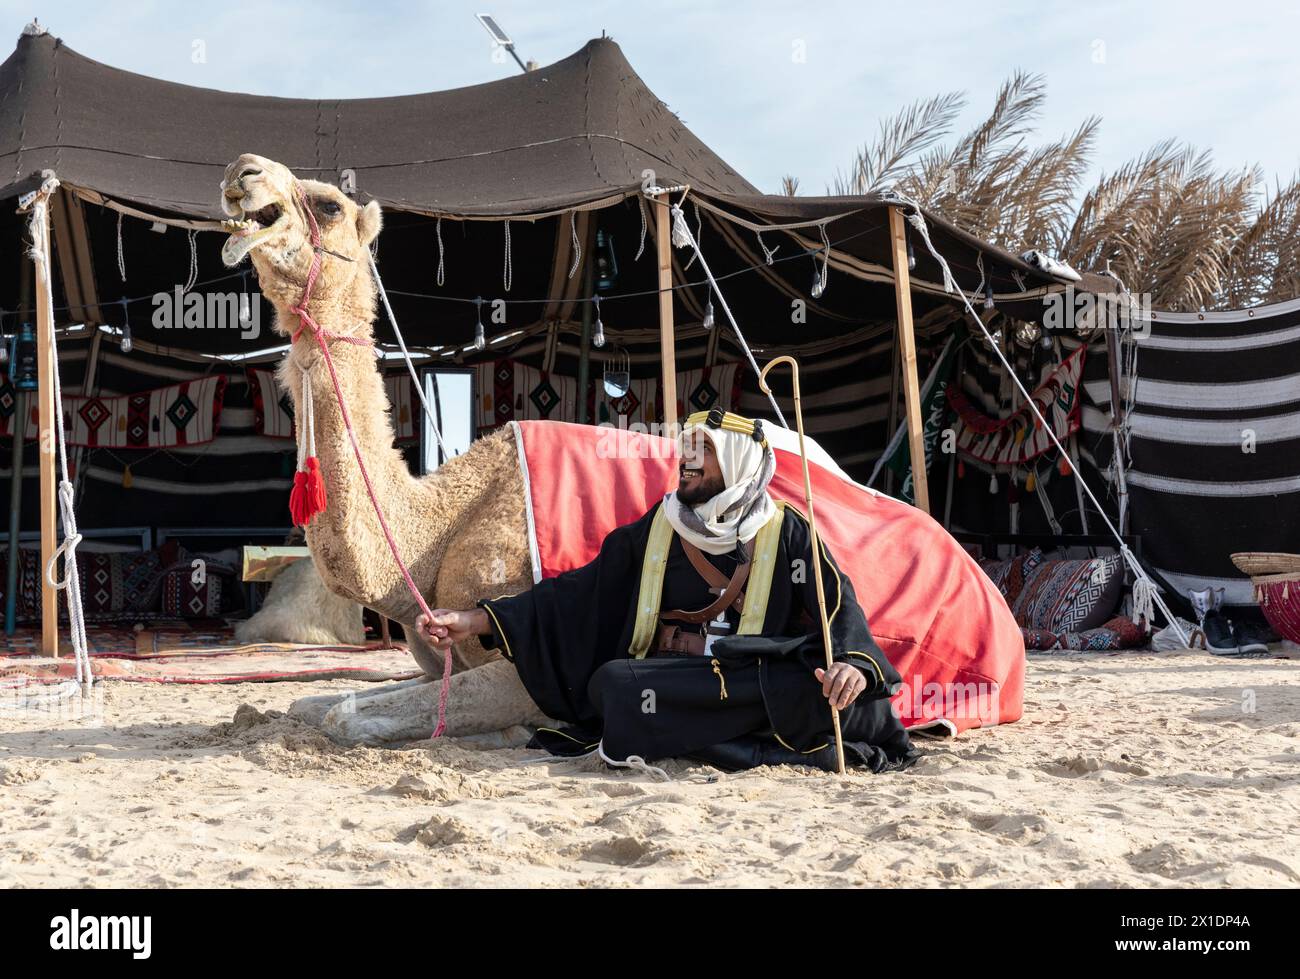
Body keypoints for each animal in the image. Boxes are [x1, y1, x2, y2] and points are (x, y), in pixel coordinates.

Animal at [219, 153, 550, 744]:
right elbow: (313, 704)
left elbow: (344, 717)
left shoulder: (524, 665)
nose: (243, 170)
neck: (436, 534)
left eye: (330, 205)